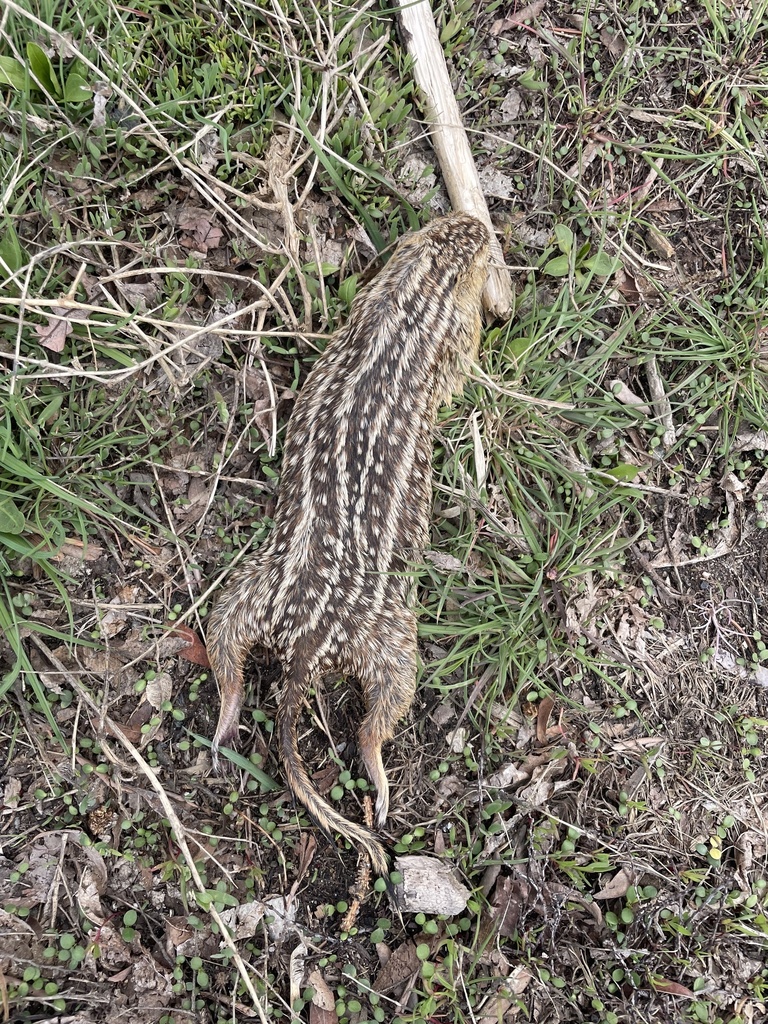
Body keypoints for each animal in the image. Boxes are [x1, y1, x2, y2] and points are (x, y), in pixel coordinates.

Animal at [207, 213, 491, 877]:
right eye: (479, 249)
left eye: (438, 228)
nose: (478, 222)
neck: (414, 300)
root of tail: (306, 642)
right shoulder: (452, 343)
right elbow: (462, 368)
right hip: (393, 644)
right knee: (374, 722)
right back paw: (381, 786)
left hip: (251, 586)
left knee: (226, 652)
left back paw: (225, 724)